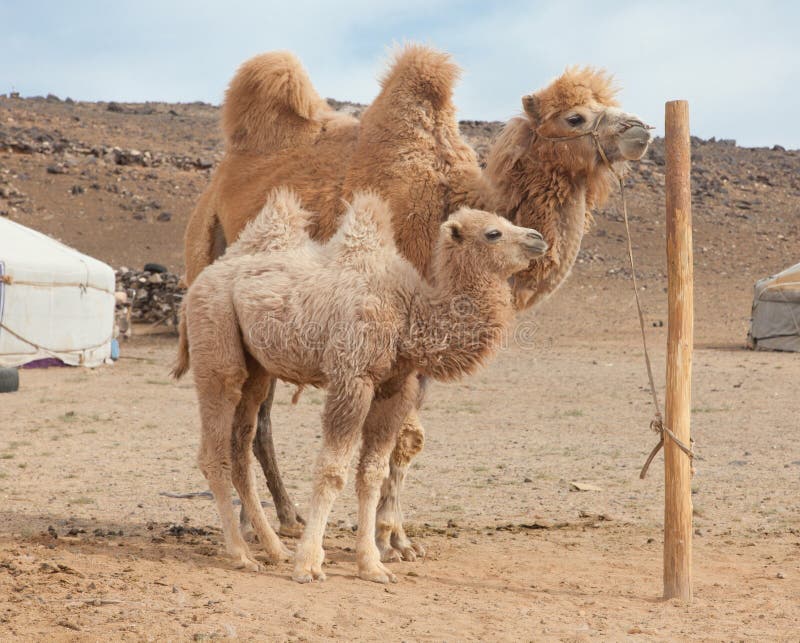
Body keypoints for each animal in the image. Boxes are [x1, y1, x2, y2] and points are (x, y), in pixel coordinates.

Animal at [174, 188, 547, 583]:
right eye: (493, 232)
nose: (537, 239)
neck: (409, 312)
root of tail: (198, 282)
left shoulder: (395, 386)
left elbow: (372, 473)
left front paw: (372, 564)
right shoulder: (351, 377)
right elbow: (332, 470)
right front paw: (309, 564)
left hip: (257, 367)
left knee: (240, 446)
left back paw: (274, 550)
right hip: (215, 335)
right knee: (215, 443)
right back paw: (242, 554)